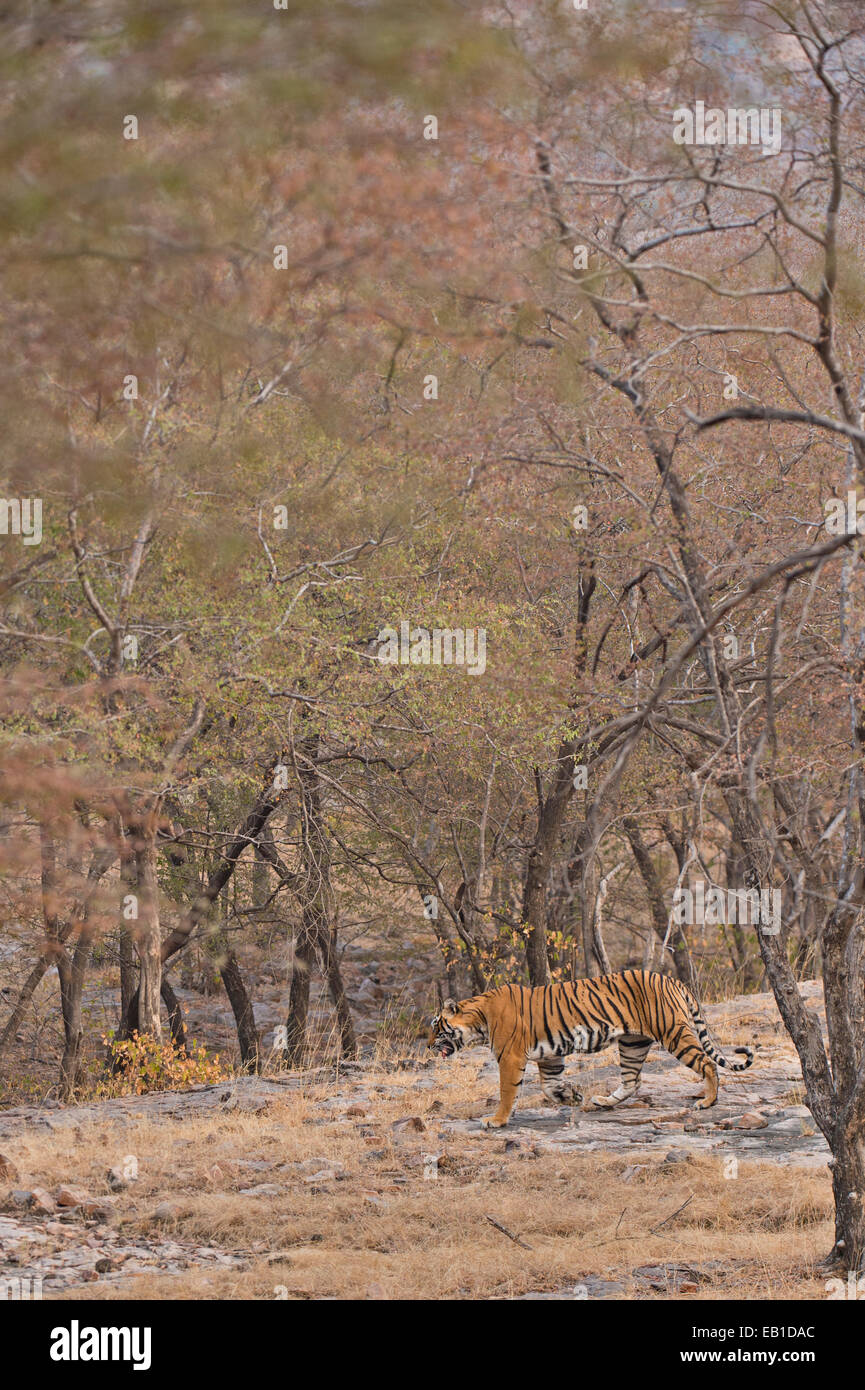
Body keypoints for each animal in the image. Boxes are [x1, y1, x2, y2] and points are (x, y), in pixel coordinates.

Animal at [427, 968, 754, 1128]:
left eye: (436, 1027)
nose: (429, 1047)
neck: (479, 1017)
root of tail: (673, 979)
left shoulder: (510, 1057)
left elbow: (508, 1093)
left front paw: (495, 1121)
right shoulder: (550, 1056)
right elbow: (549, 1086)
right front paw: (571, 1097)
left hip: (673, 1033)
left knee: (706, 1063)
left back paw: (707, 1101)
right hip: (633, 1043)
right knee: (632, 1081)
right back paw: (602, 1102)